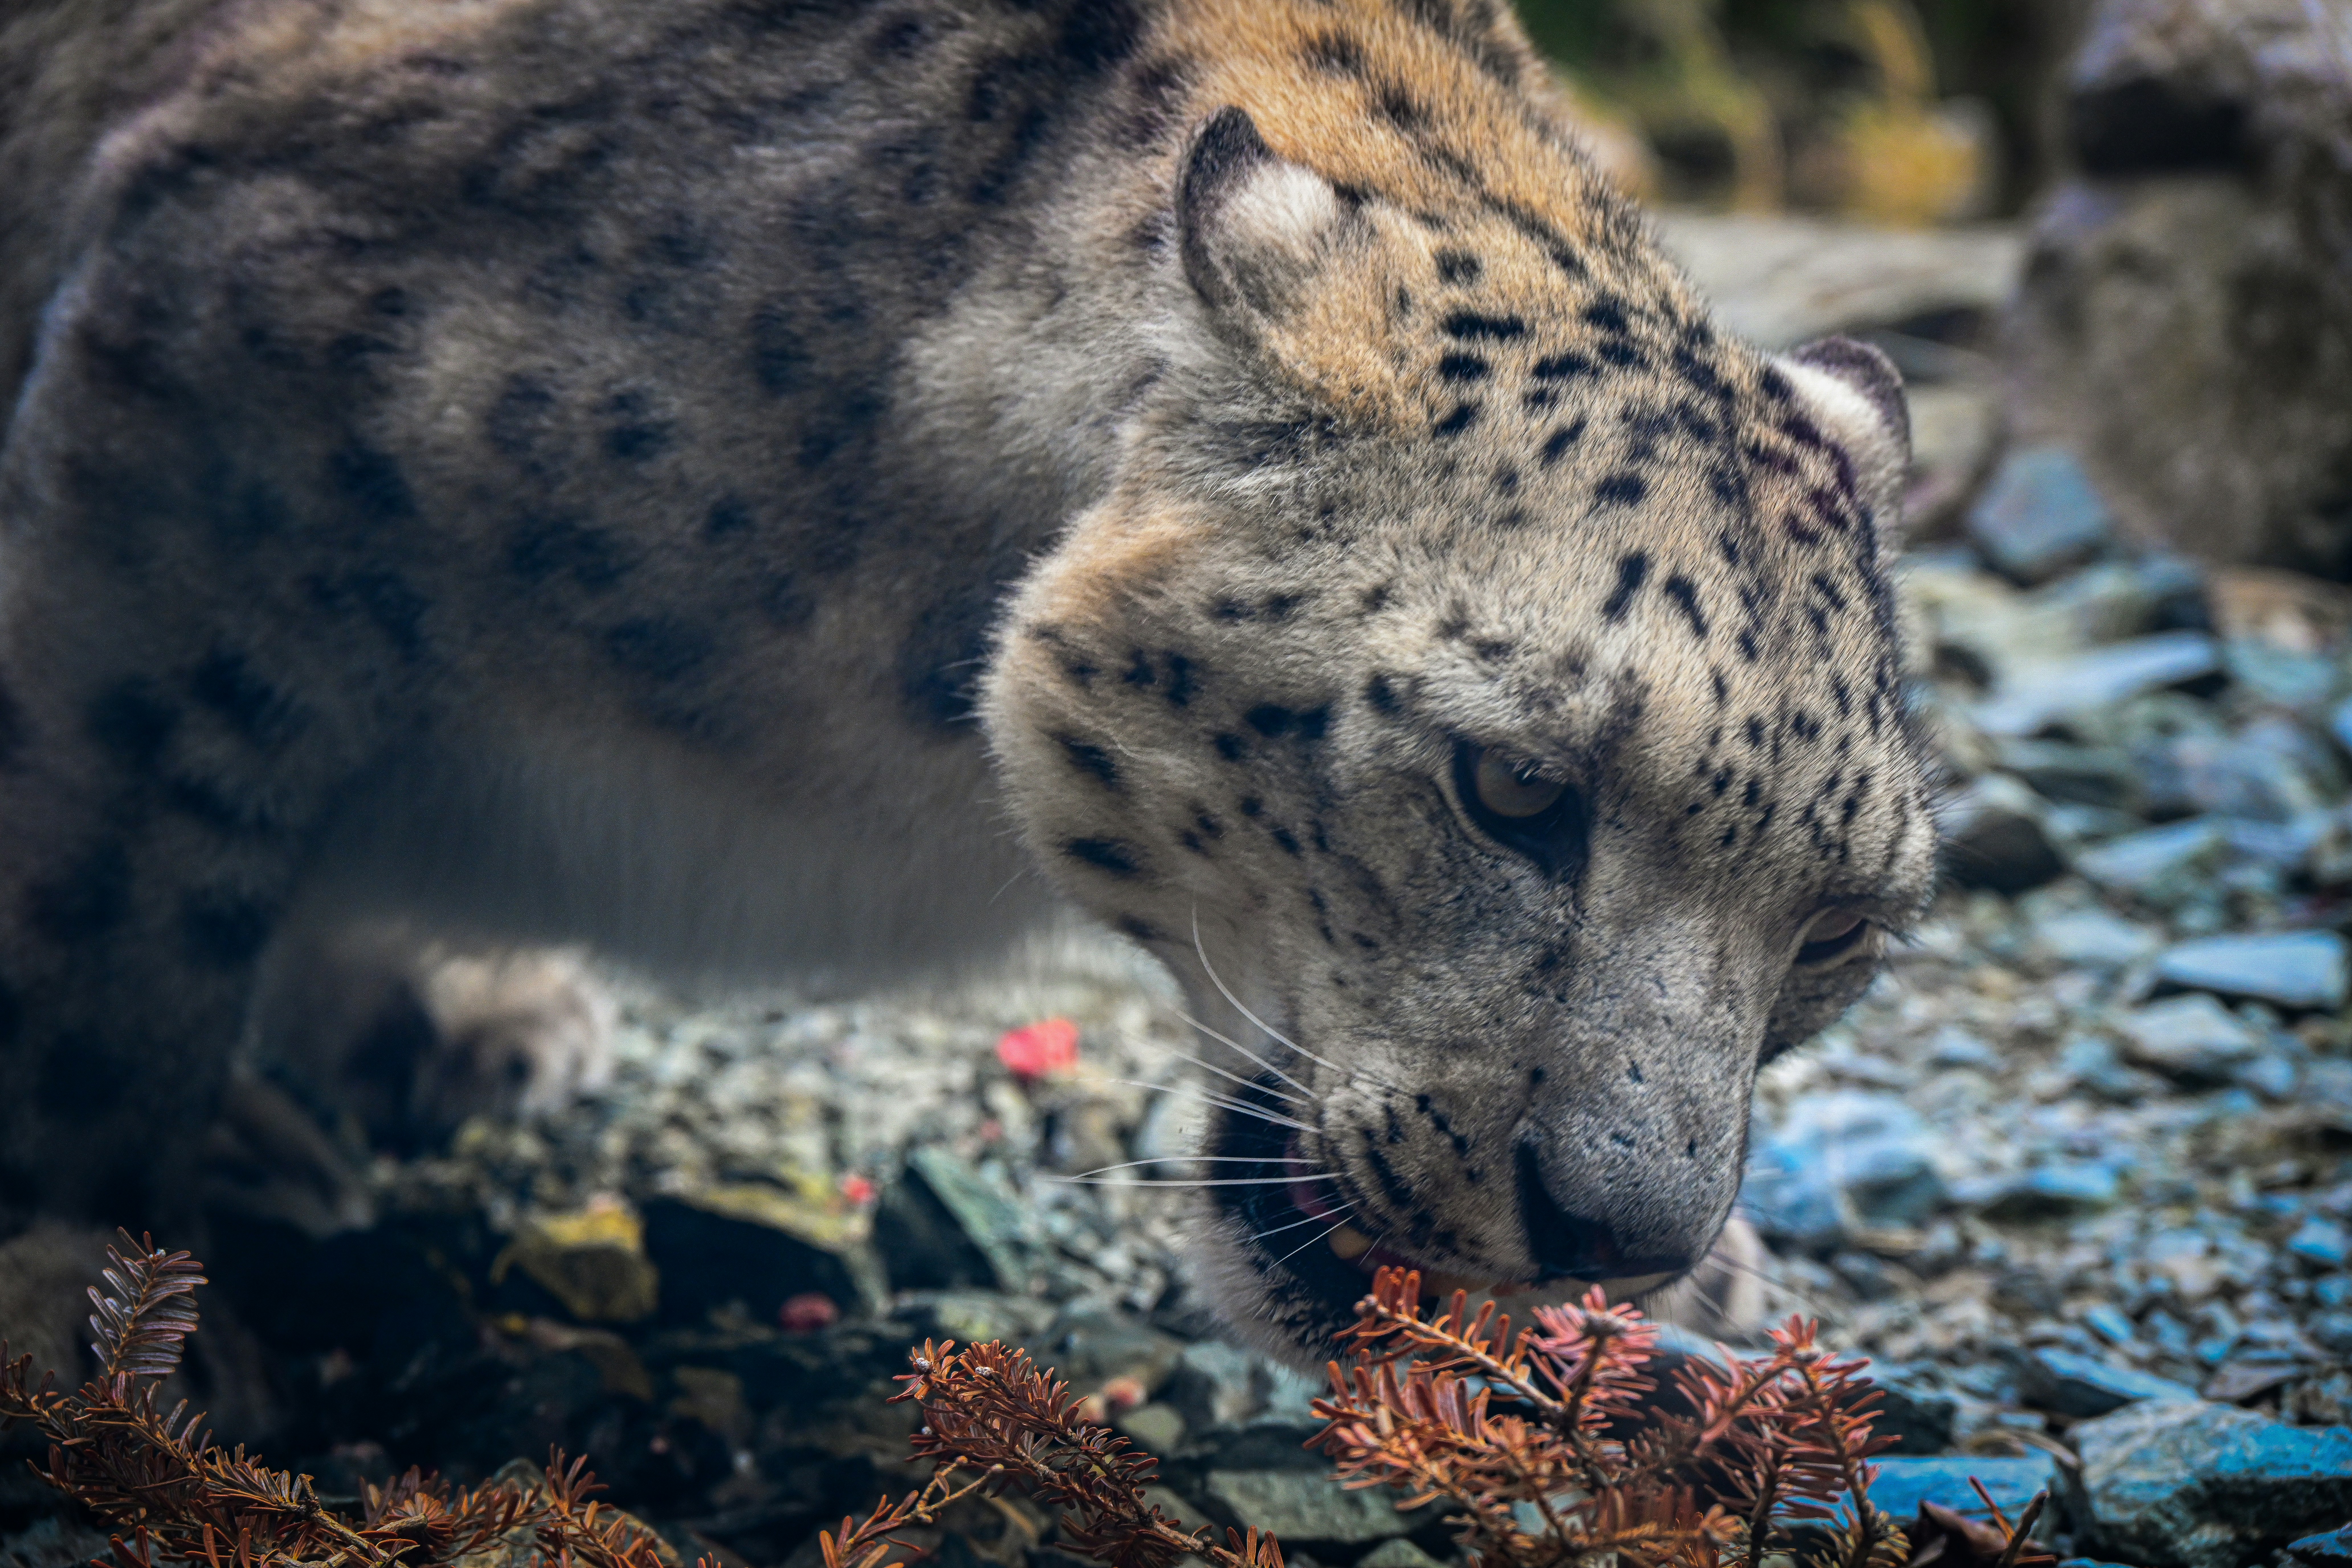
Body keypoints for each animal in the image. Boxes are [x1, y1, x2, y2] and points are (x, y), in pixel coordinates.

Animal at [0, 0, 1938, 1362]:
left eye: (1841, 926)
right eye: (1516, 788)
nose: (1623, 1230)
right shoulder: (191, 413)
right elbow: (112, 931)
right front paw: (101, 1312)